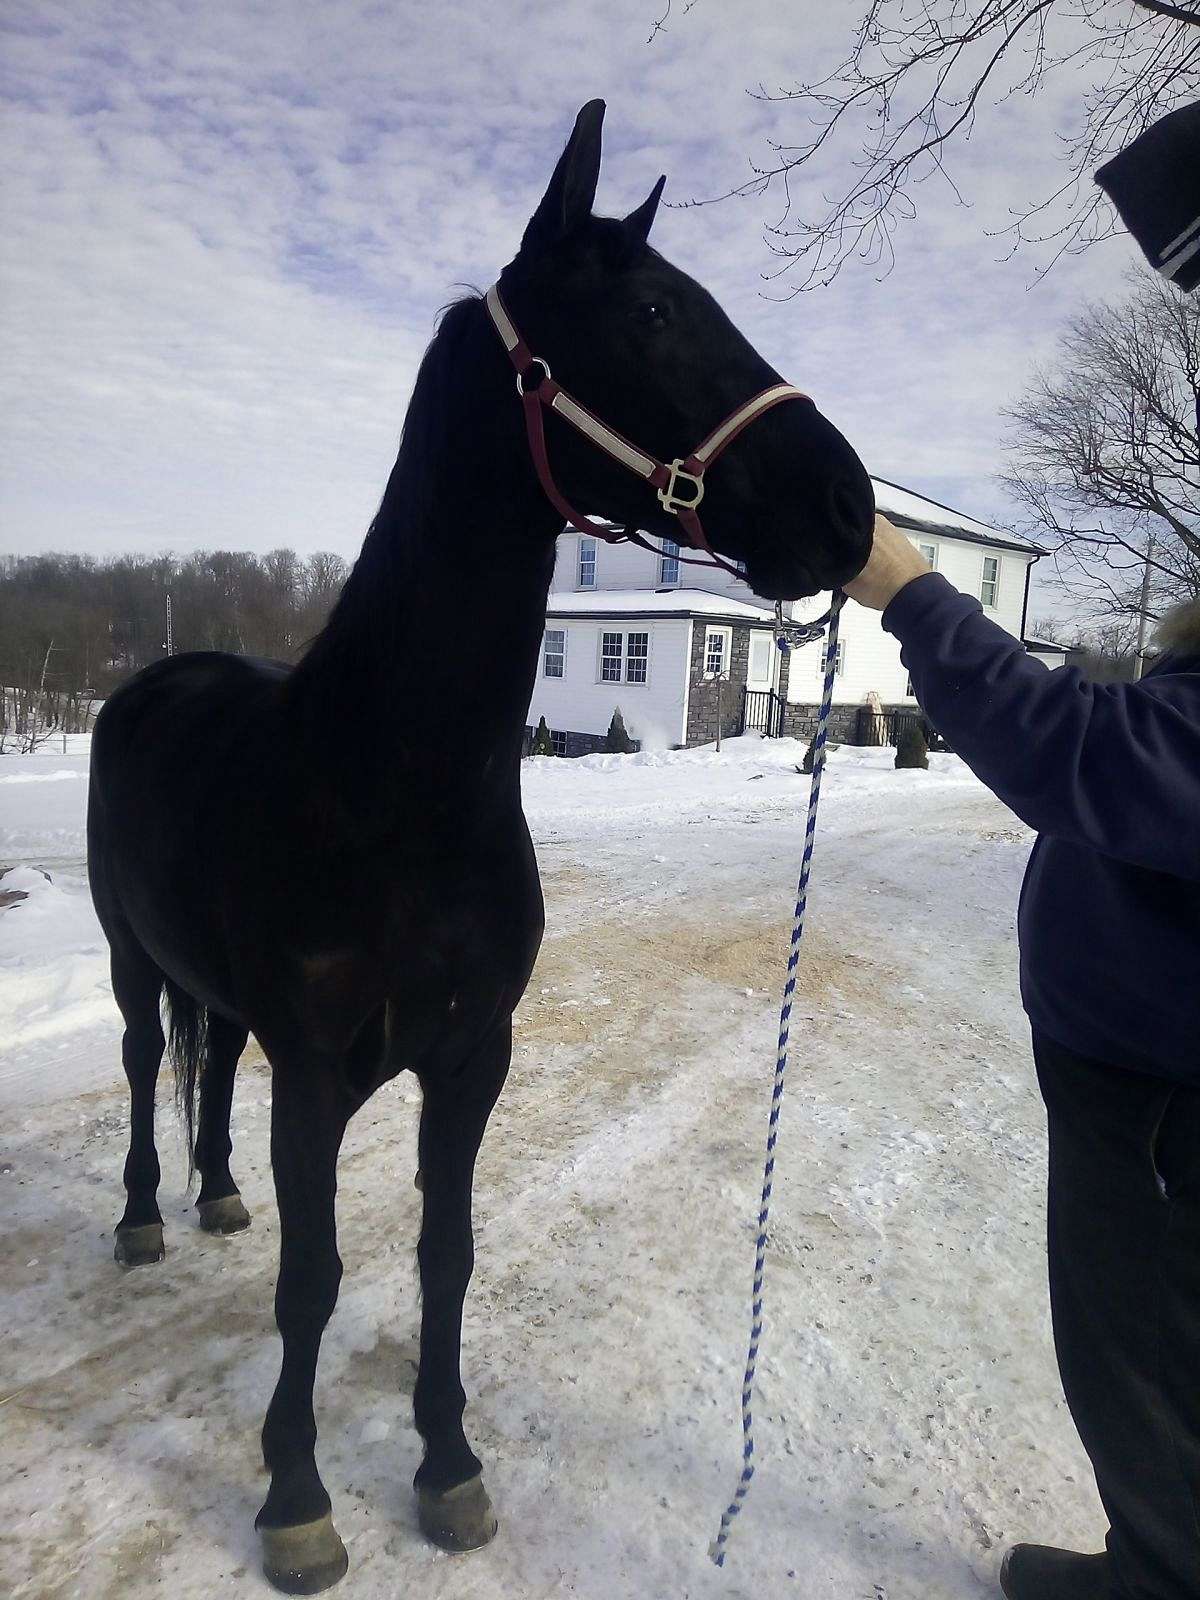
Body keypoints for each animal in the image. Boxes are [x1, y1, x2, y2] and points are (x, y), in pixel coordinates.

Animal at [87, 98, 874, 1593]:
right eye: (651, 308)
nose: (850, 506)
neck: (396, 790)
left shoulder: (472, 1057)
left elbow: (443, 1255)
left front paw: (448, 1465)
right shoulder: (320, 1073)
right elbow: (315, 1279)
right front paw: (295, 1498)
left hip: (228, 999)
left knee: (208, 1069)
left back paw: (214, 1195)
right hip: (128, 959)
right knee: (149, 1064)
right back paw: (151, 1215)